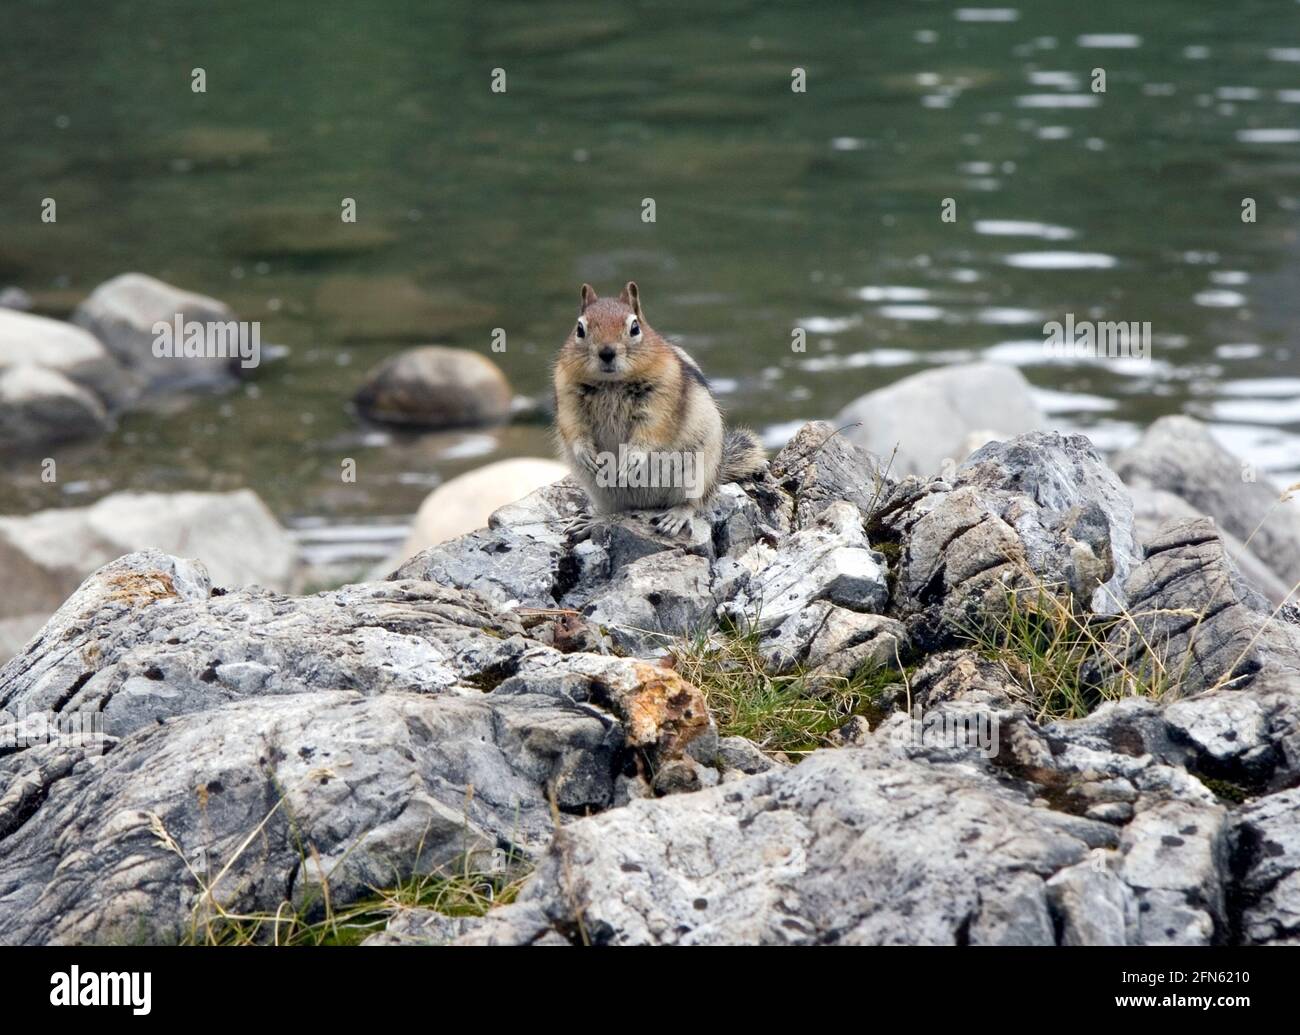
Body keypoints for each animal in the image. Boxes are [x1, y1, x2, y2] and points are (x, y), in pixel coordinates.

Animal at [553, 281, 766, 536]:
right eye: (580, 329)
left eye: (635, 327)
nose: (606, 352)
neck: (611, 383)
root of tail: (646, 504)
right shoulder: (568, 396)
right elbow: (573, 427)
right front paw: (585, 453)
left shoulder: (662, 396)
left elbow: (653, 428)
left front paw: (631, 459)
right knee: (613, 513)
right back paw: (591, 521)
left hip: (697, 473)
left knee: (693, 503)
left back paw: (675, 517)